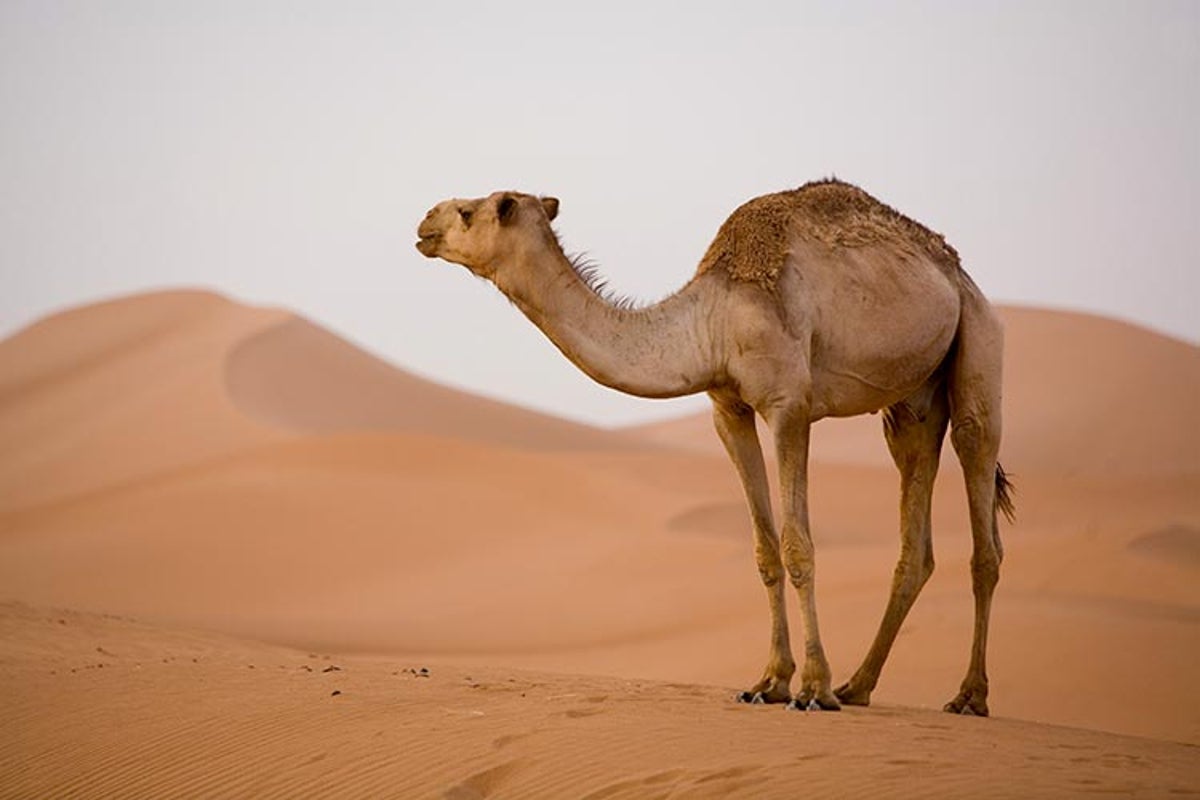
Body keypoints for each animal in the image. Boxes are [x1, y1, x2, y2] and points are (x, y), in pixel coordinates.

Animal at [415, 179, 1013, 715]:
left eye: (468, 211)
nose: (424, 222)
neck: (714, 319)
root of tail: (958, 272)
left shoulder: (789, 405)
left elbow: (798, 545)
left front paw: (812, 689)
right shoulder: (728, 409)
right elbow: (764, 549)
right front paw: (769, 683)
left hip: (979, 341)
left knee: (981, 504)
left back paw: (967, 696)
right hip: (913, 401)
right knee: (916, 535)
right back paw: (859, 686)